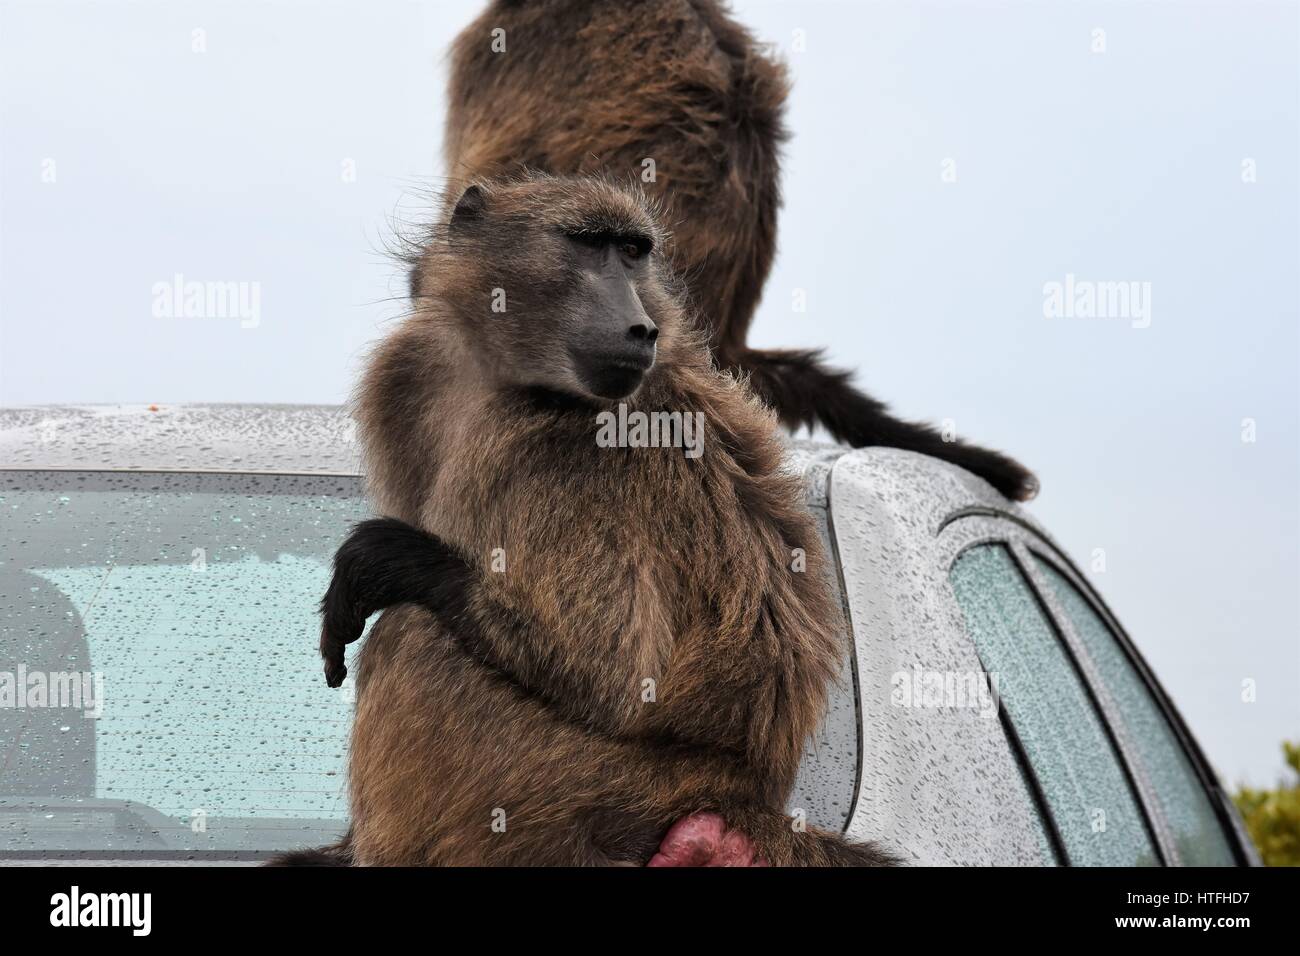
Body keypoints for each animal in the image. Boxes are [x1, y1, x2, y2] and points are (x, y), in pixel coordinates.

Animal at [270, 173, 898, 866]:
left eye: (633, 251)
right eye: (589, 244)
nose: (641, 328)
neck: (494, 373)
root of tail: (740, 799)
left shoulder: (568, 449)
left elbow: (614, 671)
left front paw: (382, 559)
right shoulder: (406, 377)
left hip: (581, 791)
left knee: (415, 631)